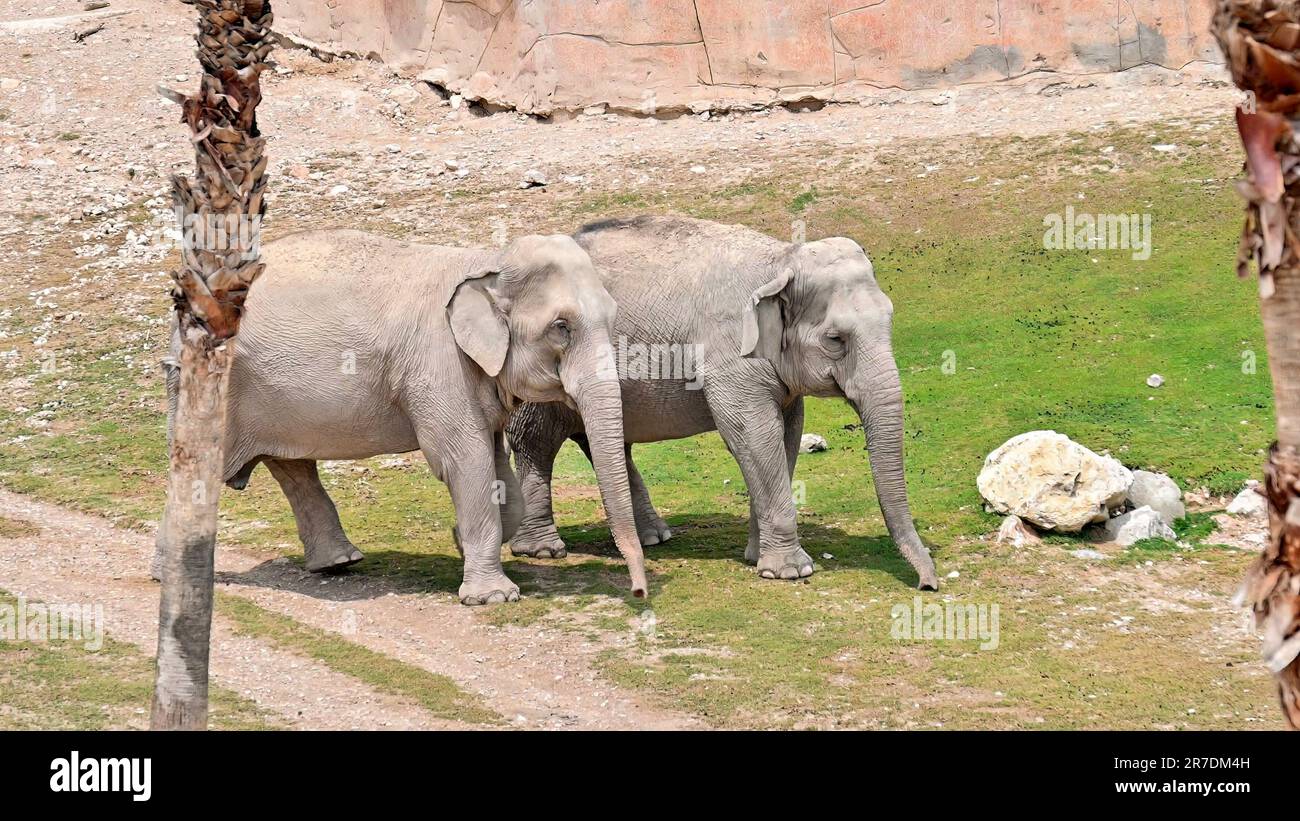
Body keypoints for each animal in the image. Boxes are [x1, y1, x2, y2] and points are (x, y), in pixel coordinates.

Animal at [161, 229, 648, 605]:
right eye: (561, 328)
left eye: (613, 318)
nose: (639, 593)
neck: (488, 259)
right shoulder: (438, 363)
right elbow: (463, 459)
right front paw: (493, 597)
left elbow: (494, 466)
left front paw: (460, 540)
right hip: (208, 390)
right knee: (201, 470)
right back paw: (171, 574)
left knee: (294, 467)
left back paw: (339, 564)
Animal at [507, 215, 939, 590]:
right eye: (836, 339)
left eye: (890, 319)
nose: (927, 584)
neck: (781, 259)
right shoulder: (730, 353)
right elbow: (754, 434)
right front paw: (791, 572)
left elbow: (788, 432)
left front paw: (757, 558)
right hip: (539, 377)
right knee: (536, 442)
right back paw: (542, 549)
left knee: (607, 444)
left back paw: (653, 538)